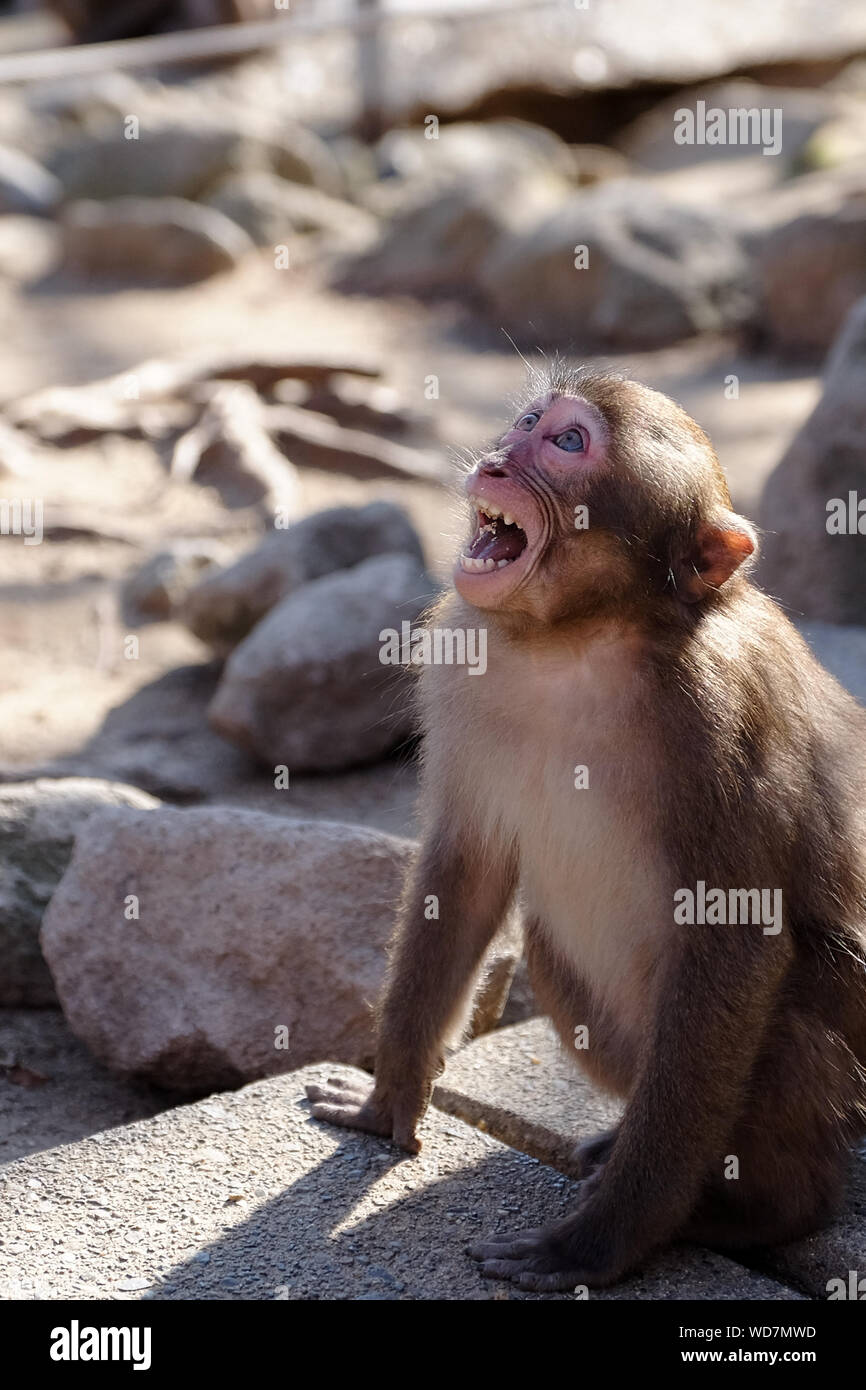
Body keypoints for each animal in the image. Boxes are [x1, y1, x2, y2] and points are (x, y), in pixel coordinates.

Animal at [306, 364, 866, 1291]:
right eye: (529, 419)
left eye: (567, 442)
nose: (498, 460)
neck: (576, 640)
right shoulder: (464, 662)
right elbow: (464, 875)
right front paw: (388, 1103)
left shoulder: (723, 719)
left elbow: (736, 937)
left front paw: (599, 1244)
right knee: (552, 958)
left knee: (779, 1025)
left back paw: (757, 1210)